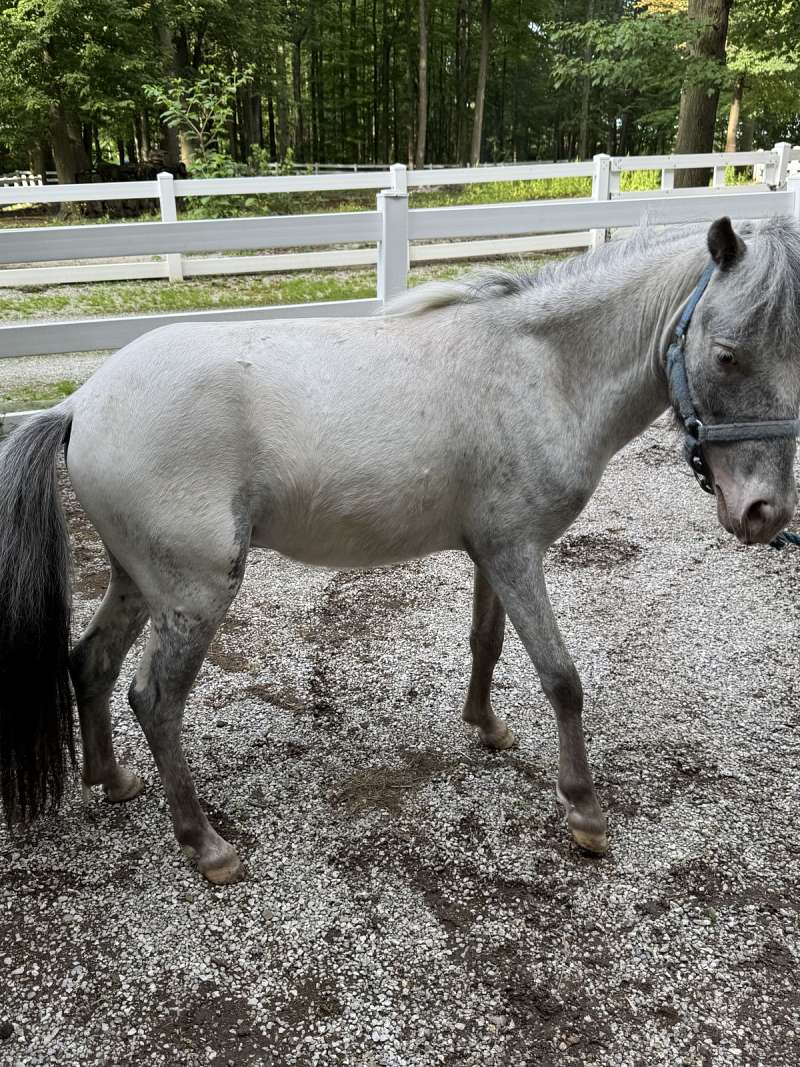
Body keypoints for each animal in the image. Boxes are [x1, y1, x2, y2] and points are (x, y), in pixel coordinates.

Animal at [2, 216, 799, 885]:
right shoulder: (518, 553)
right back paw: (206, 845)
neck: (542, 370)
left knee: (91, 664)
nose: (764, 513)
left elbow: (486, 643)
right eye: (726, 354)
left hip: (141, 581)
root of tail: (80, 403)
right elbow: (562, 678)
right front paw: (584, 811)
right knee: (154, 699)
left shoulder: (492, 551)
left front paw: (486, 726)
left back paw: (114, 781)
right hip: (195, 592)